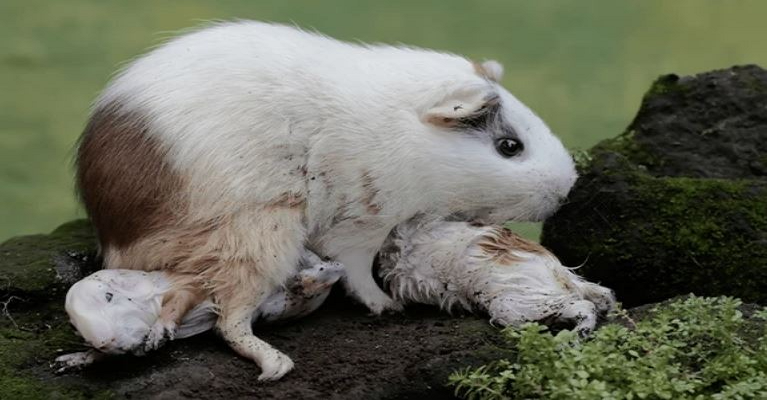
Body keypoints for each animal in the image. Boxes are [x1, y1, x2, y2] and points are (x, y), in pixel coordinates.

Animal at [53, 250, 344, 373]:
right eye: (75, 327)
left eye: (109, 296)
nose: (105, 341)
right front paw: (76, 359)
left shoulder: (185, 281)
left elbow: (184, 296)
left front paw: (160, 328)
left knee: (334, 267)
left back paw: (307, 278)